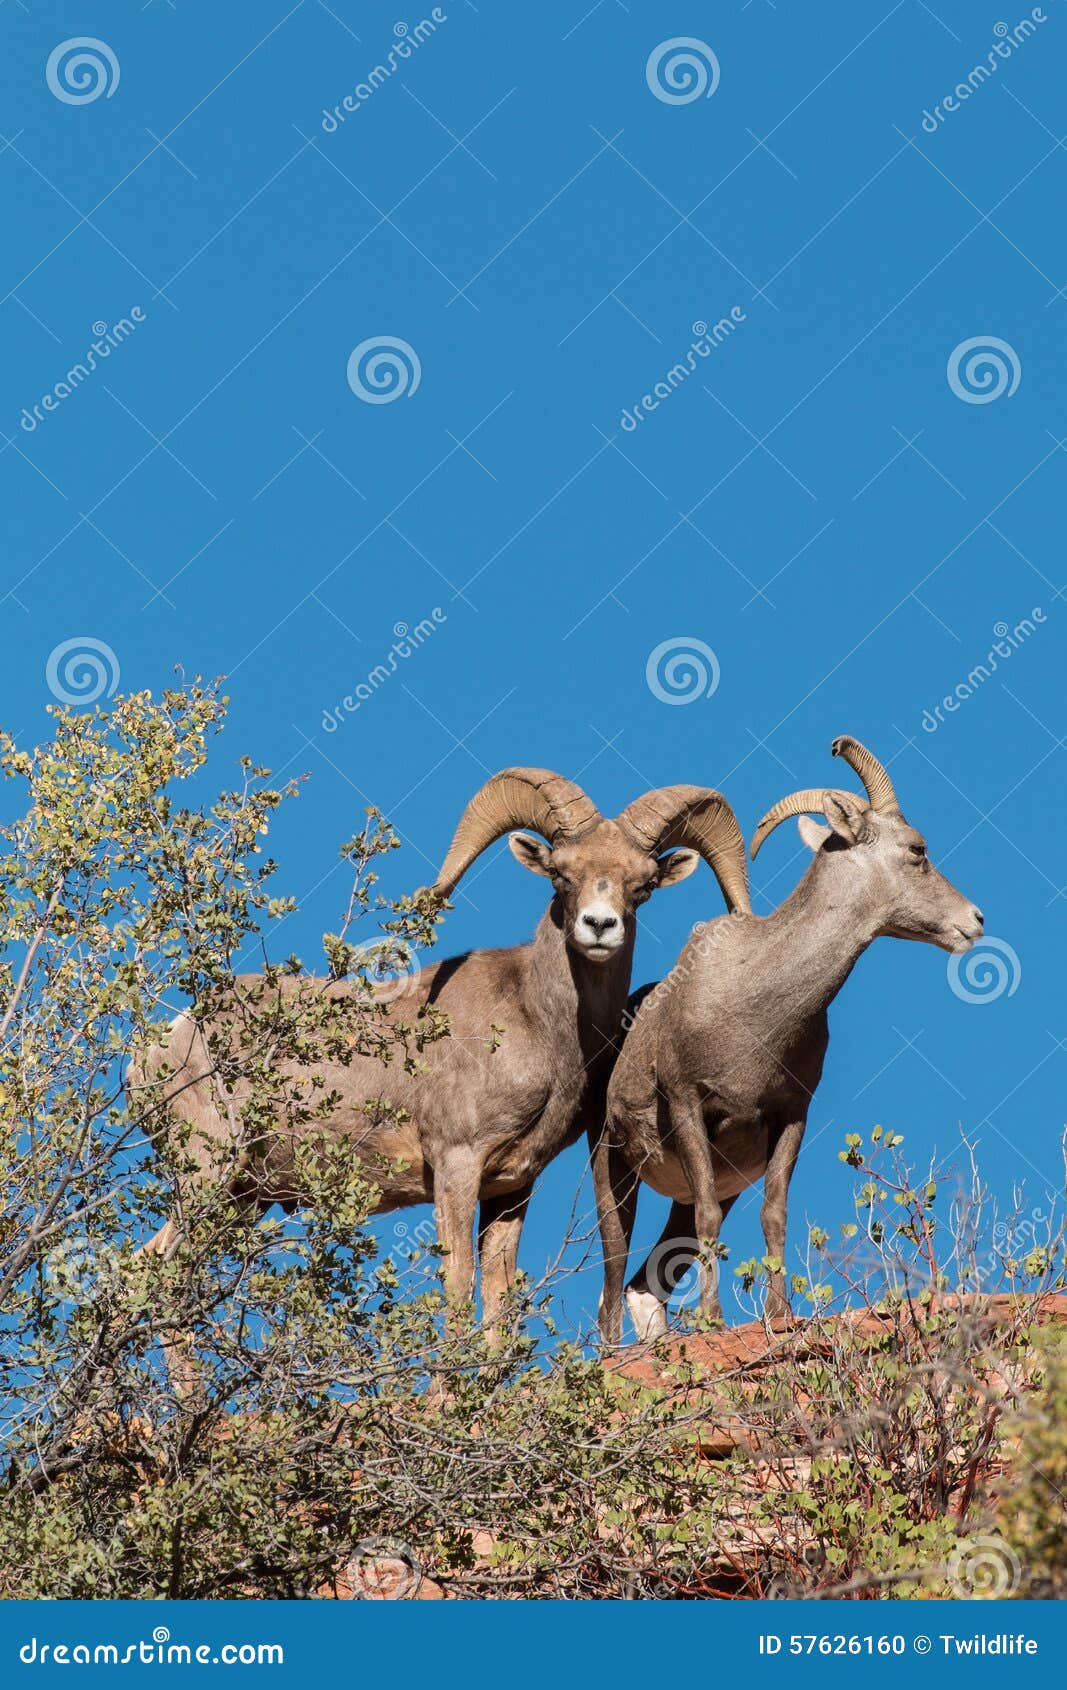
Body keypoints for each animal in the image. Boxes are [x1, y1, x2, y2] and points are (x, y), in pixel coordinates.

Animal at [133, 768, 750, 1332]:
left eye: (642, 885)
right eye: (560, 875)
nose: (600, 927)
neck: (541, 1025)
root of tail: (159, 1046)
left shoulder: (511, 1190)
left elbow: (498, 1311)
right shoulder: (456, 1165)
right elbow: (458, 1295)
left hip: (243, 1199)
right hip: (209, 1172)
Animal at [593, 736, 984, 1347]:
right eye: (918, 849)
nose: (975, 921)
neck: (755, 1007)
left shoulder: (790, 1116)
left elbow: (773, 1214)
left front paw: (780, 1317)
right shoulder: (686, 1105)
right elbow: (707, 1217)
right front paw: (714, 1321)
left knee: (645, 1281)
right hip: (613, 1170)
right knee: (614, 1270)